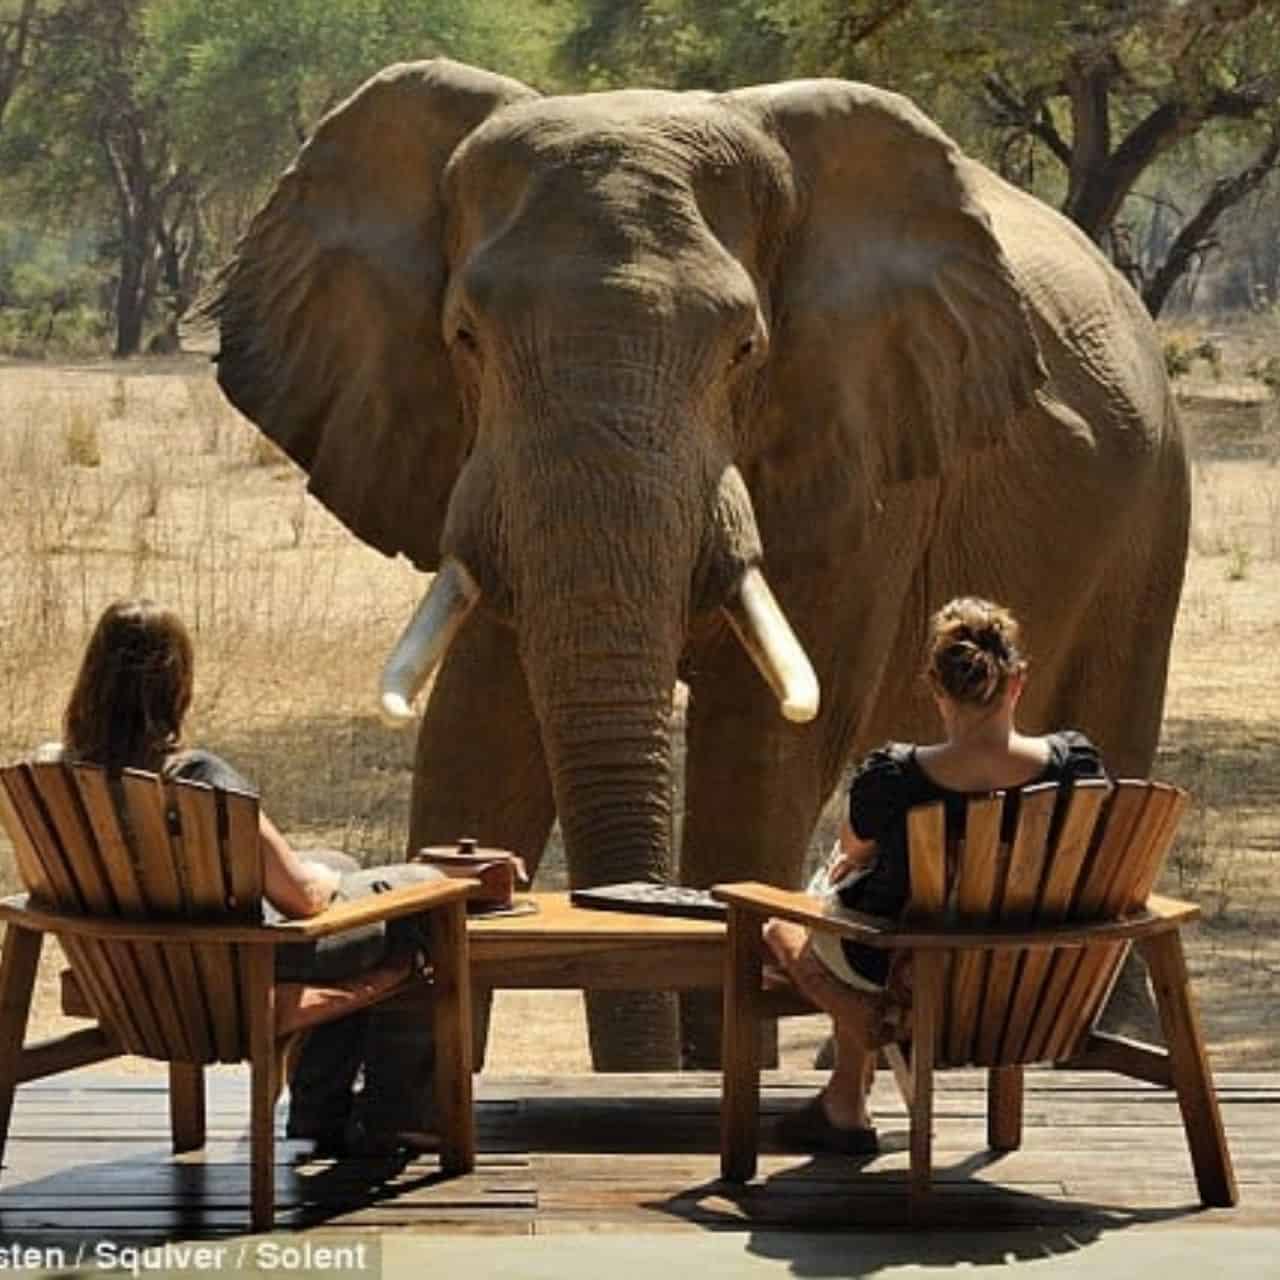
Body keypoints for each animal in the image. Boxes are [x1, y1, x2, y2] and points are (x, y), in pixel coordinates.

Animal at [208, 58, 1189, 1071]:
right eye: (465, 339)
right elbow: (478, 730)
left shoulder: (865, 446)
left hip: (1153, 508)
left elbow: (764, 750)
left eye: (744, 349)